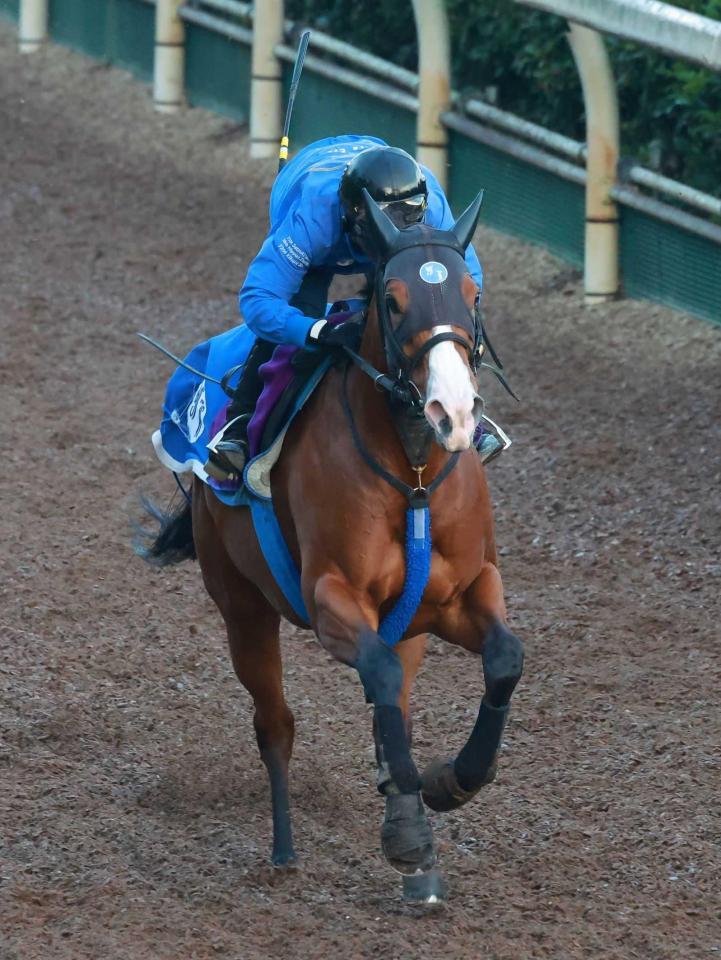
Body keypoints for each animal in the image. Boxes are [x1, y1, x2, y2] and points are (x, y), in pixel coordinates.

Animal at [142, 189, 525, 901]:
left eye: (472, 294)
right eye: (393, 300)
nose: (454, 413)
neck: (414, 474)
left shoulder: (462, 593)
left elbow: (504, 660)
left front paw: (449, 783)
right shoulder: (330, 600)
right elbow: (373, 675)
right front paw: (411, 830)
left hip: (411, 627)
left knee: (395, 703)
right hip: (243, 609)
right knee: (276, 724)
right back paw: (285, 849)